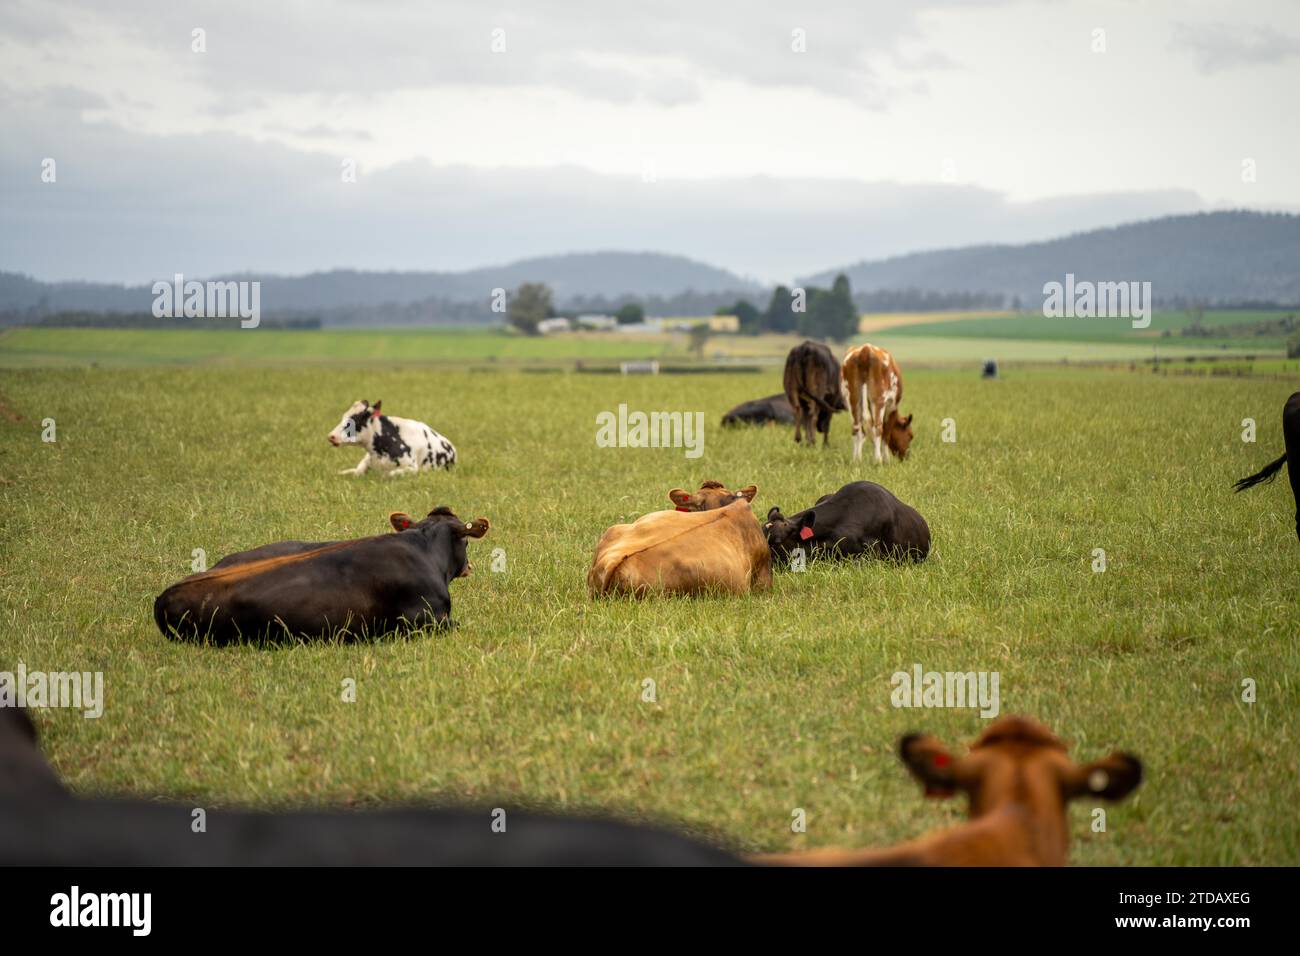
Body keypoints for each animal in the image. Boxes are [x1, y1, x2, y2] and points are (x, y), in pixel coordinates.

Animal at [328, 400, 457, 477]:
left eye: (355, 420)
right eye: (343, 417)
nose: (331, 436)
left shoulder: (412, 468)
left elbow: (389, 474)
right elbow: (350, 472)